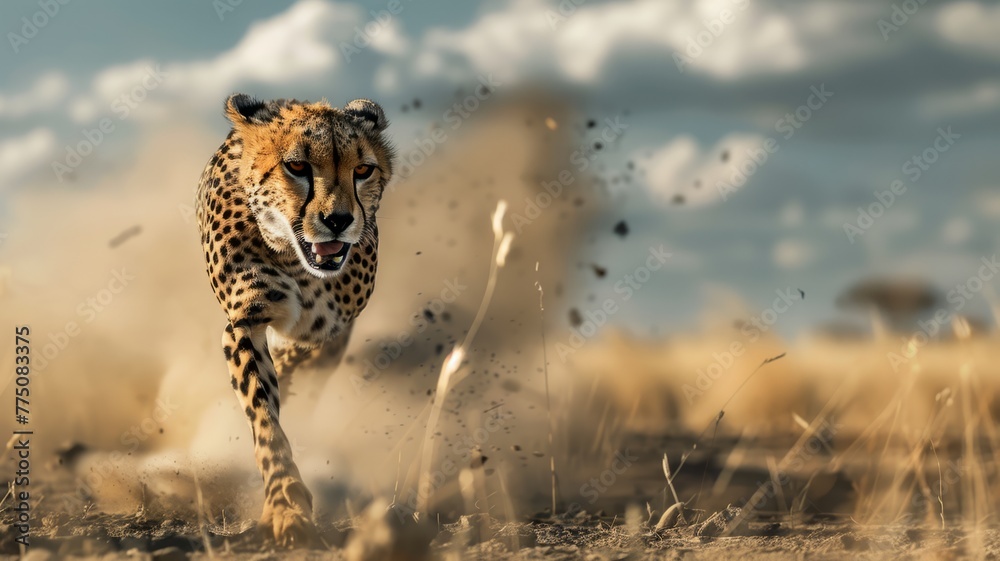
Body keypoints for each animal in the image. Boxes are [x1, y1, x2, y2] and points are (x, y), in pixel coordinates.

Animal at [195, 93, 394, 546]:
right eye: (298, 167)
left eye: (362, 170)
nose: (338, 221)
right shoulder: (245, 323)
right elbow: (265, 418)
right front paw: (285, 506)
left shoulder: (333, 329)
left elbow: (299, 358)